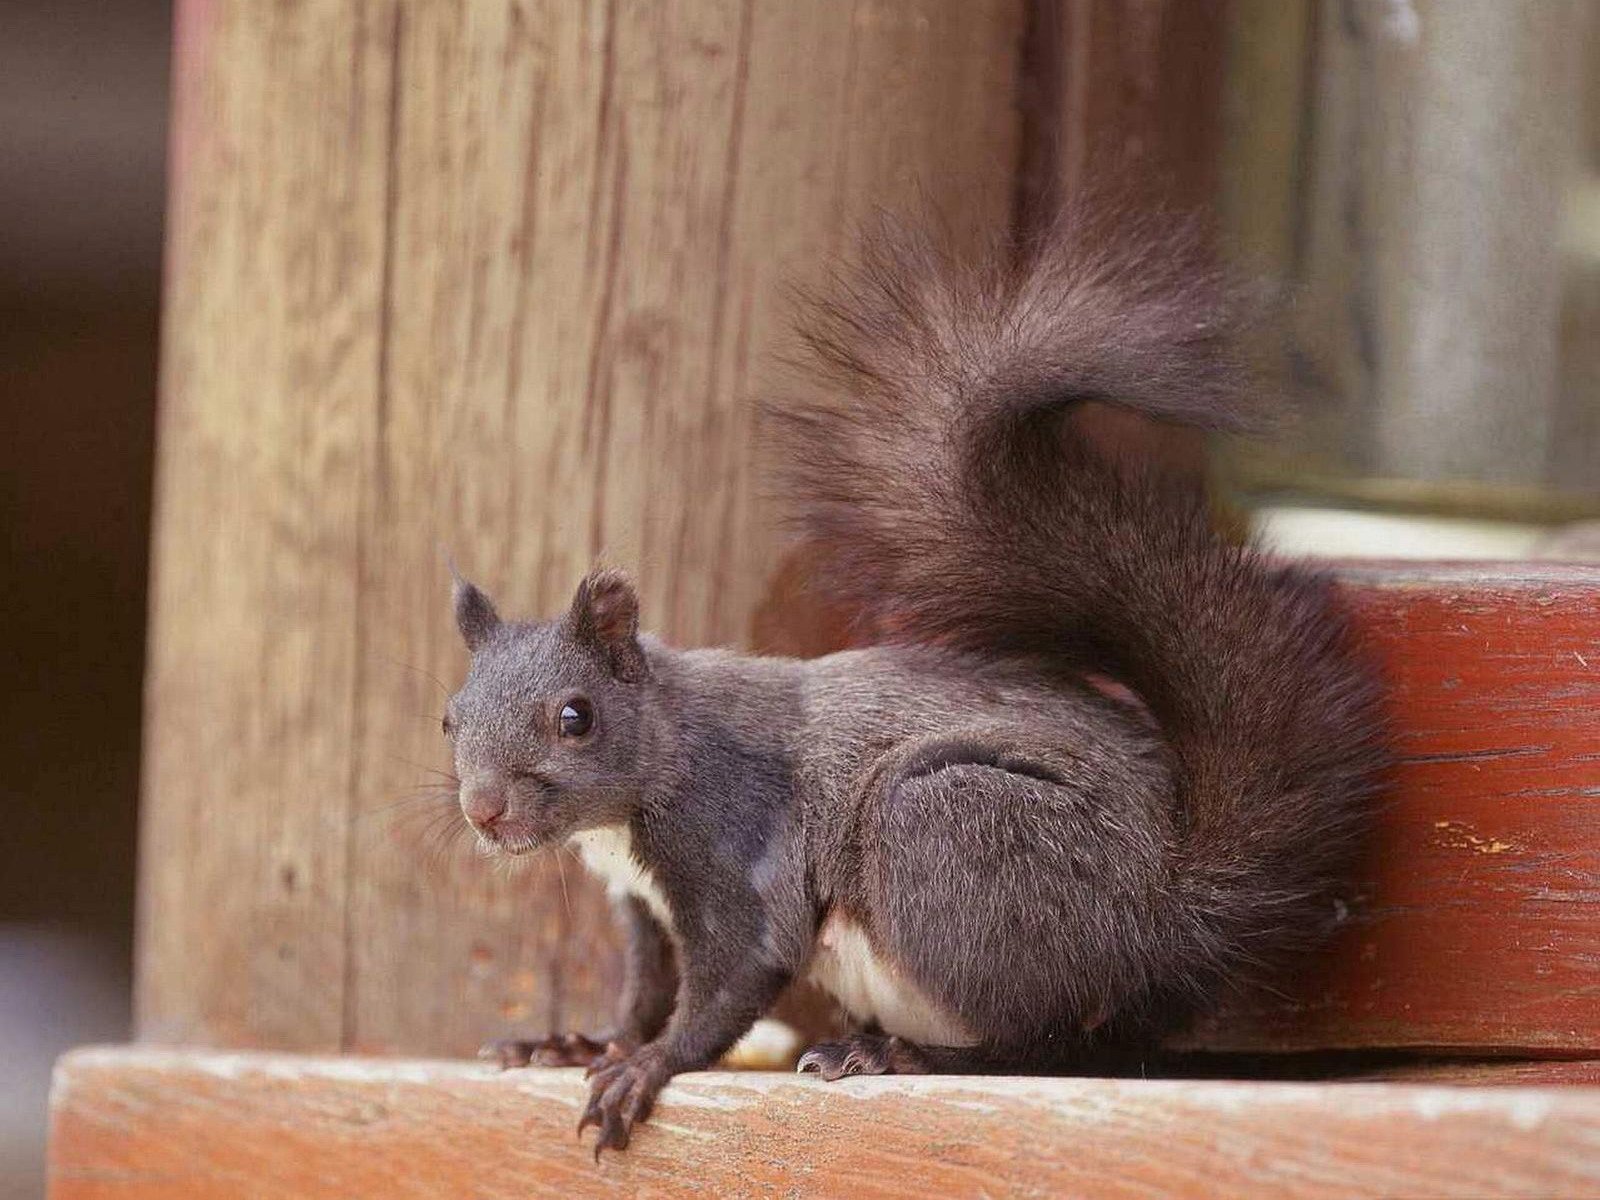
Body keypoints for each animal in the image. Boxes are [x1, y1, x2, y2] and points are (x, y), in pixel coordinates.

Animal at [443, 208, 1389, 1157]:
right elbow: (644, 990)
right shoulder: (644, 908)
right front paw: (580, 1041)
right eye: (450, 721)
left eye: (576, 716)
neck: (653, 761)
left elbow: (736, 974)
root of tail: (1174, 909)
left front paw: (648, 1066)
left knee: (1053, 1048)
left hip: (949, 831)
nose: (483, 811)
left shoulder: (738, 843)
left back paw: (902, 1057)